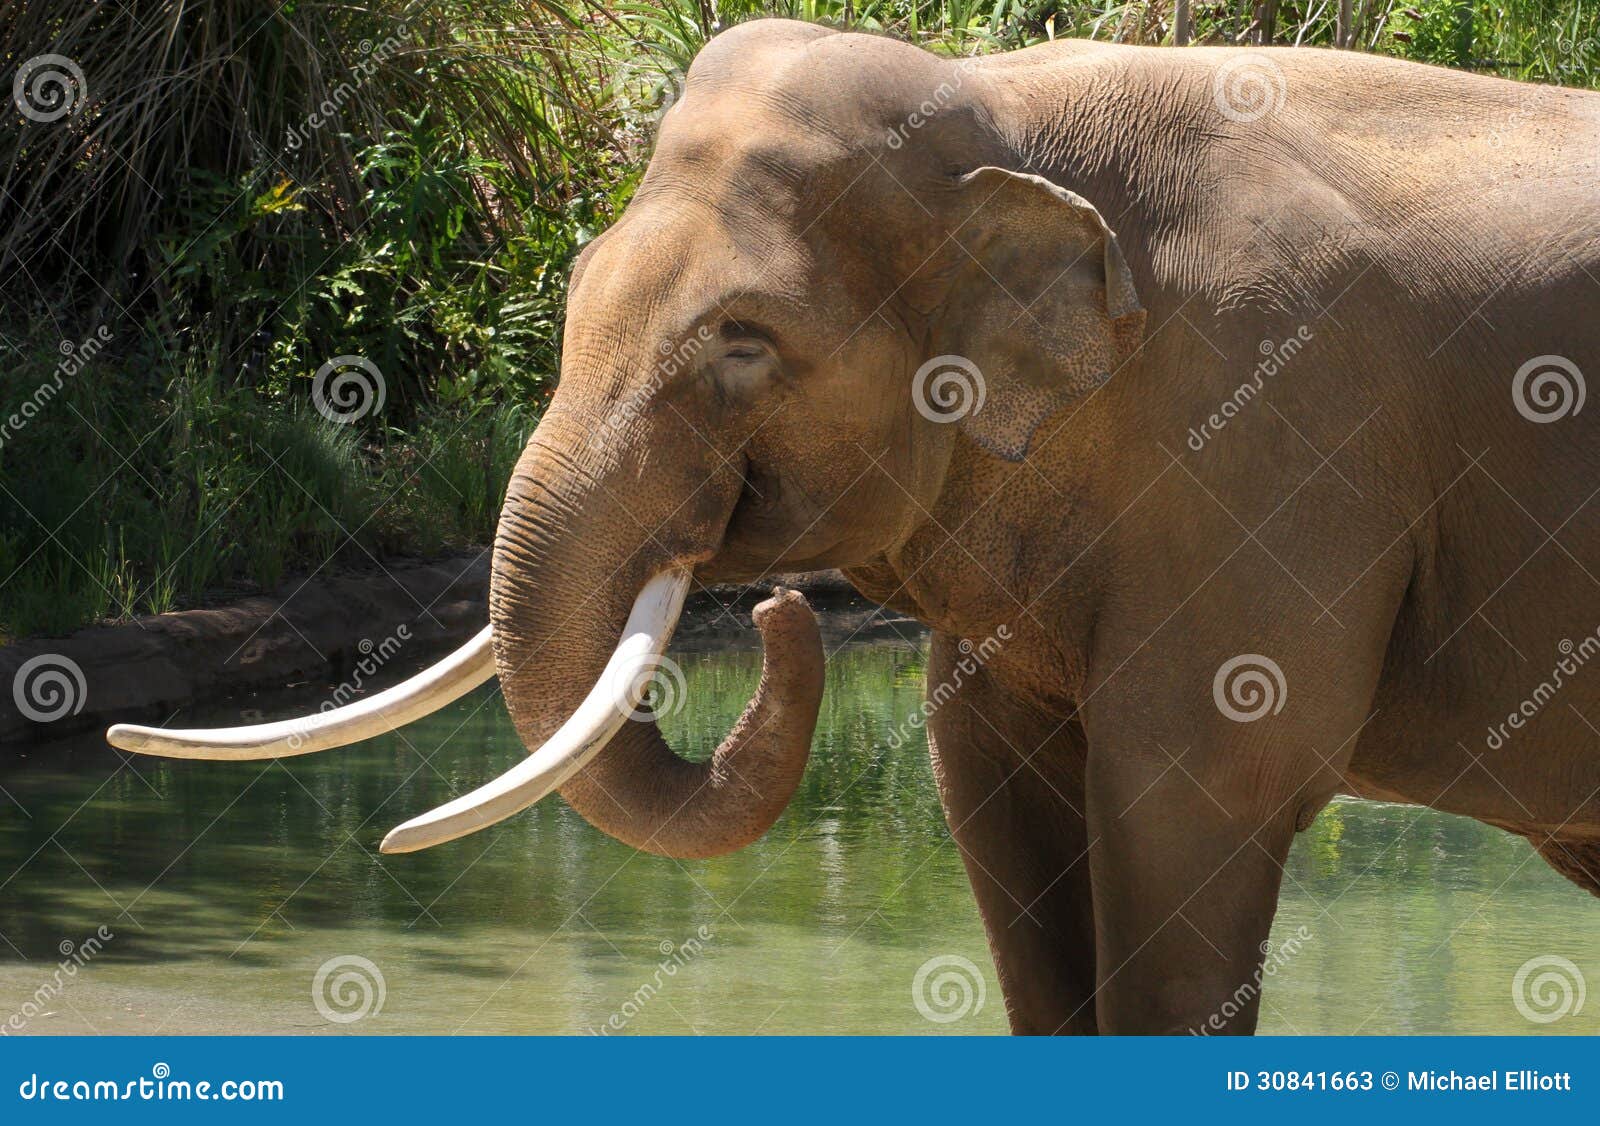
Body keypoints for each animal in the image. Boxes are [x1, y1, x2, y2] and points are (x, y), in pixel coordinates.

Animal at [109, 19, 1600, 1034]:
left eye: (744, 342)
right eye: (578, 280)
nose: (773, 613)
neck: (1010, 108)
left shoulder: (1279, 431)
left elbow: (1197, 784)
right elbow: (990, 771)